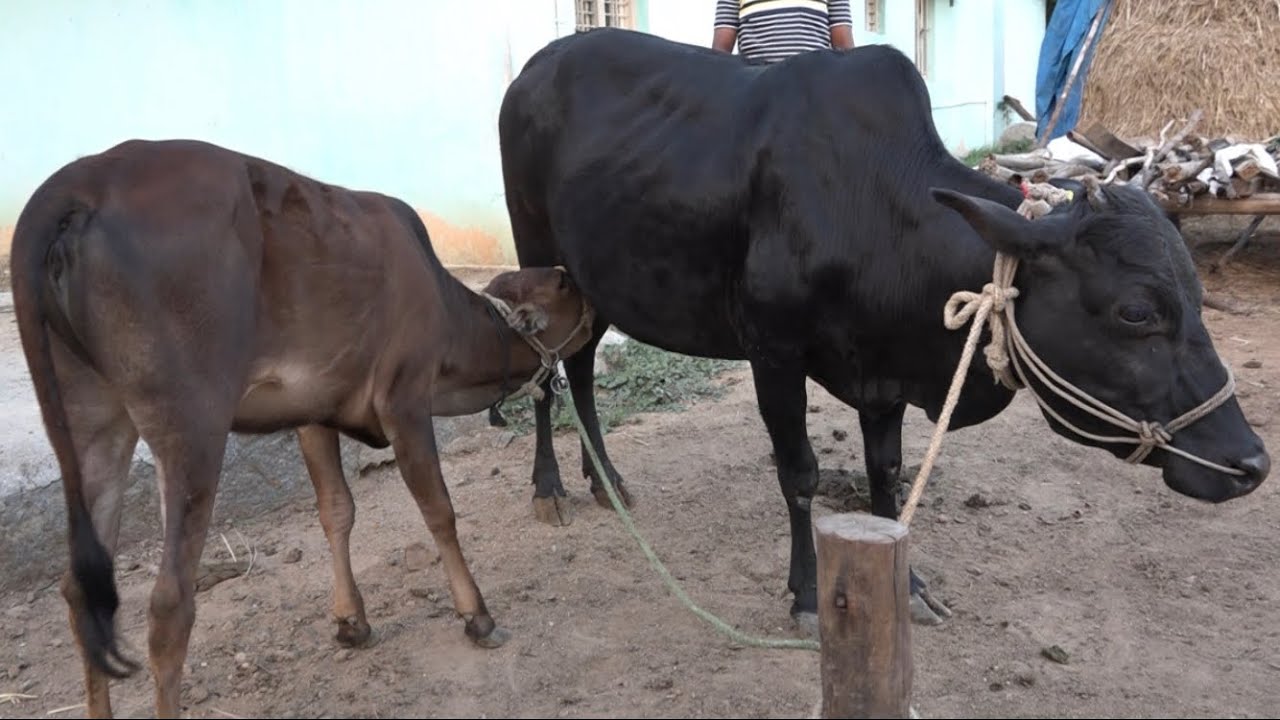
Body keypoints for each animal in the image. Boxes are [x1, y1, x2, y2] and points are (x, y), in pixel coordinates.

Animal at [10, 138, 596, 719]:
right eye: (564, 281)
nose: (592, 293)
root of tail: (81, 181)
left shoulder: (314, 411)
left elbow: (337, 510)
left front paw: (351, 621)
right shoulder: (404, 398)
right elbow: (439, 511)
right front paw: (477, 616)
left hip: (94, 424)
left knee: (81, 591)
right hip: (191, 427)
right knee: (169, 604)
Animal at [496, 28, 1270, 630]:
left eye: (1196, 295)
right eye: (1137, 312)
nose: (1250, 464)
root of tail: (535, 68)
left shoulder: (883, 376)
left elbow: (887, 472)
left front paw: (912, 586)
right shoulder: (772, 351)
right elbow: (800, 474)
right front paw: (808, 593)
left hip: (593, 279)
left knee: (582, 363)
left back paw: (606, 481)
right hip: (541, 256)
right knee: (543, 365)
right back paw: (550, 489)